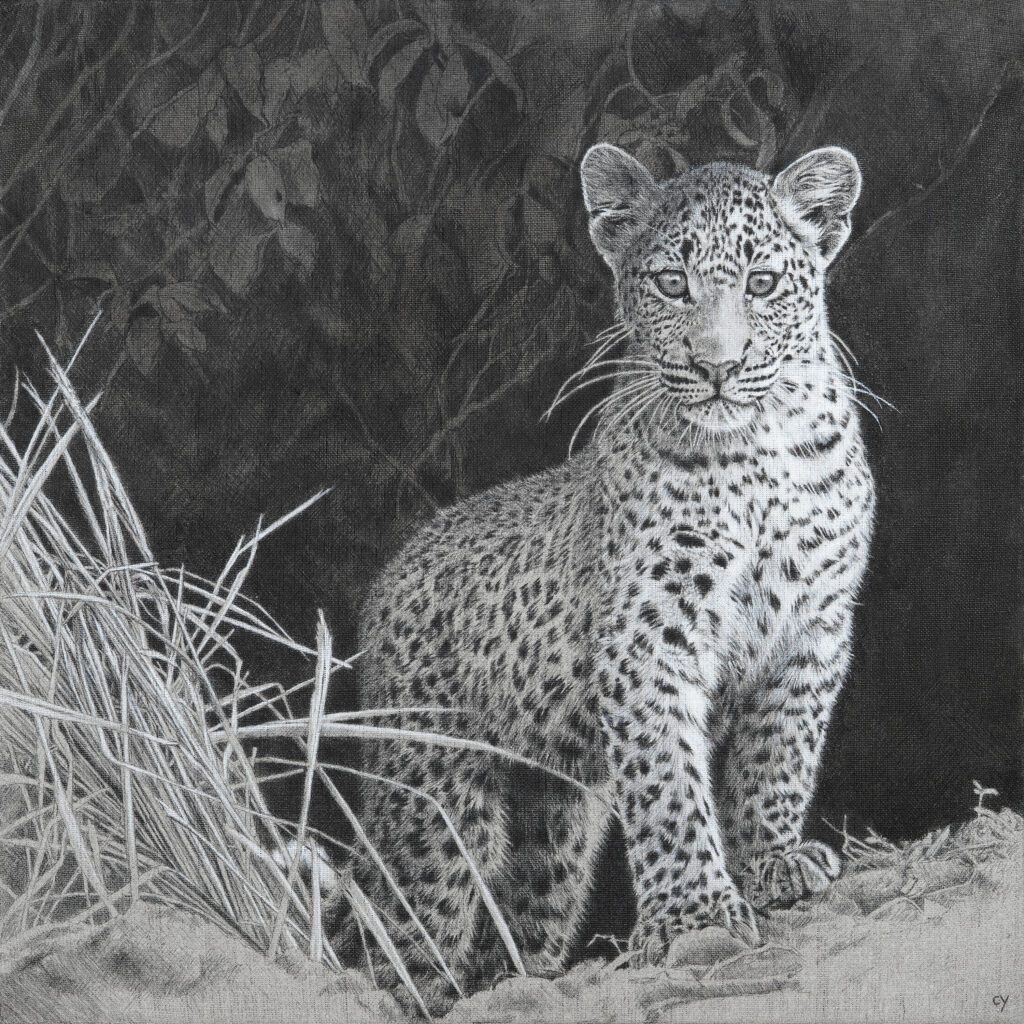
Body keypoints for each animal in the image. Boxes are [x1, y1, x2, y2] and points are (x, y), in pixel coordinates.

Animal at [346, 142, 875, 1012]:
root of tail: (392, 571)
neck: (762, 452)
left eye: (763, 283)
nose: (717, 366)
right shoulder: (650, 632)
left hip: (550, 827)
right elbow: (667, 782)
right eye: (670, 284)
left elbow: (779, 756)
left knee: (513, 934)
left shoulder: (812, 632)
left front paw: (773, 863)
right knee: (406, 934)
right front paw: (696, 915)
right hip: (433, 804)